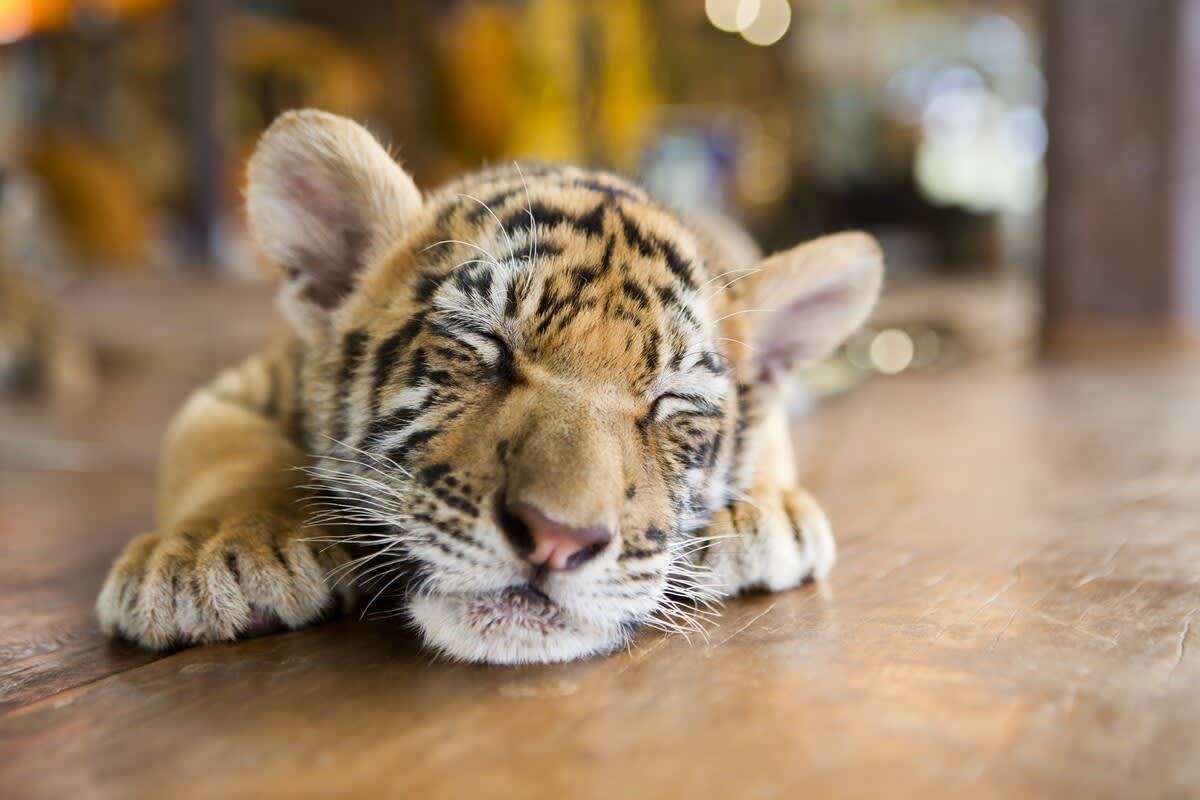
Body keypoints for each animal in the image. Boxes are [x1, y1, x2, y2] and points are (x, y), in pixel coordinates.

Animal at [96, 110, 883, 664]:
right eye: (486, 345)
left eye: (669, 404)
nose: (557, 541)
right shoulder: (236, 387)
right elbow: (223, 449)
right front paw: (210, 555)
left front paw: (764, 513)